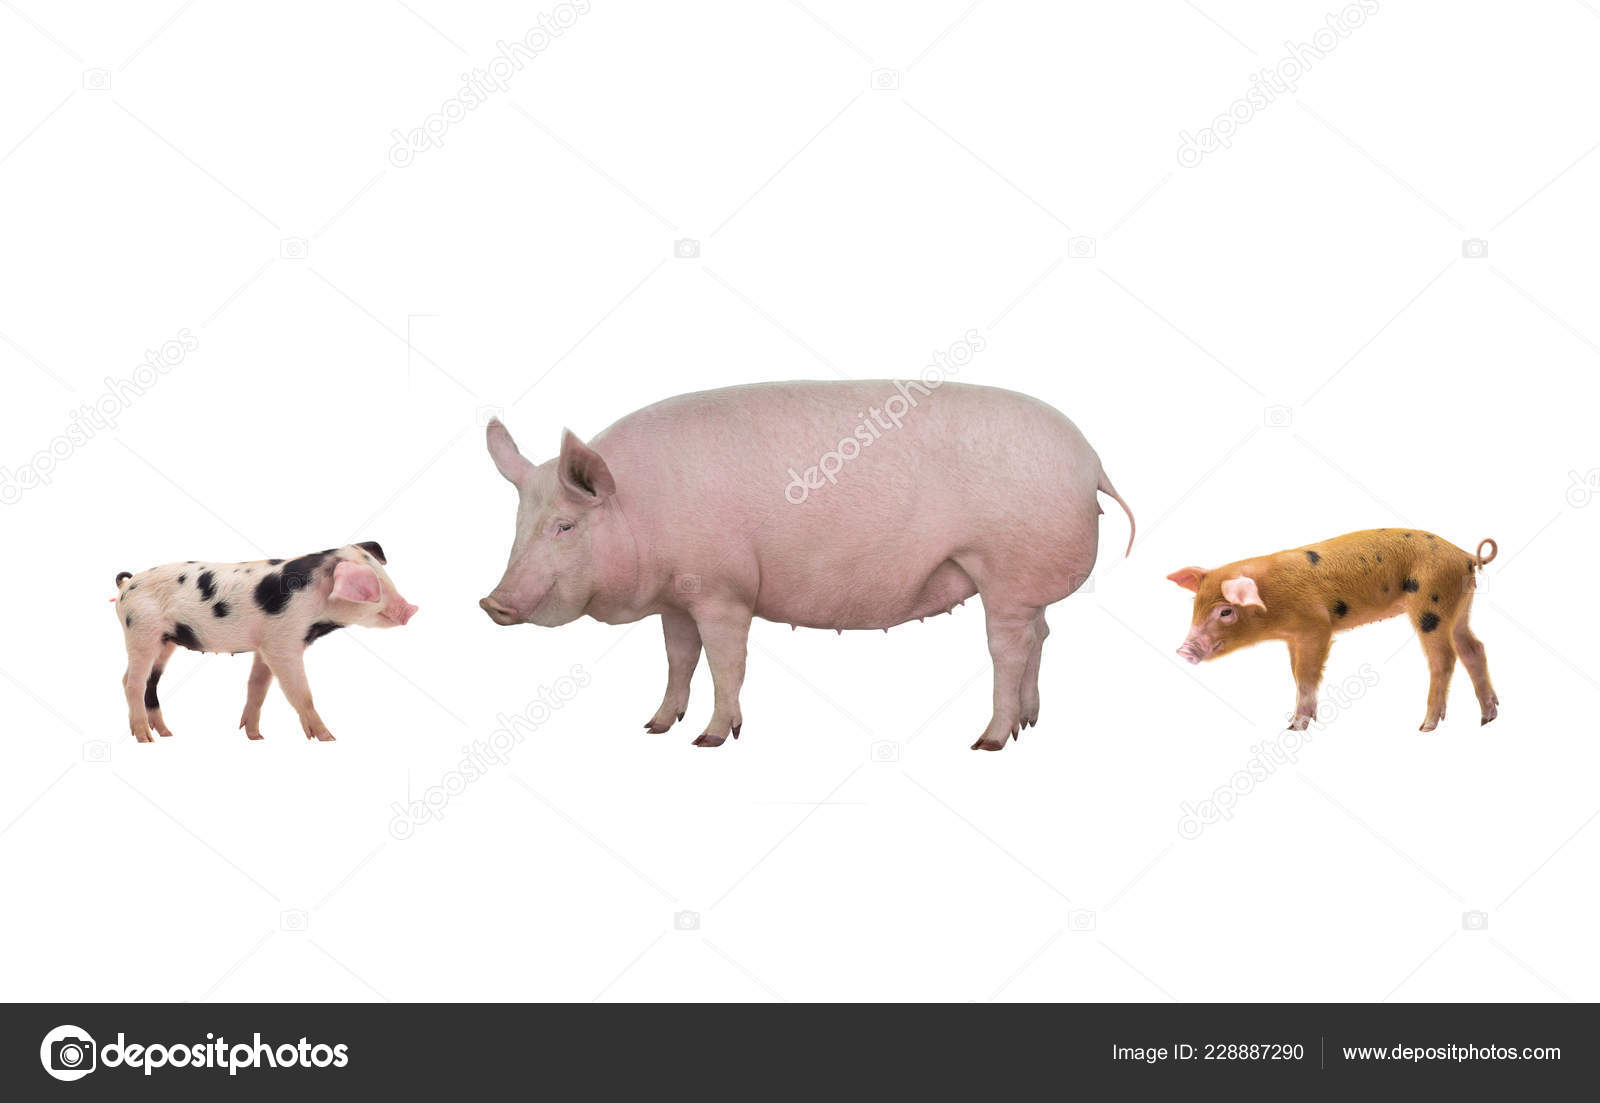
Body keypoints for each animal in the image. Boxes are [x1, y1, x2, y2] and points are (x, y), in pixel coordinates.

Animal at [113, 542, 418, 743]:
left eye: (386, 577)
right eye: (373, 589)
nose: (412, 609)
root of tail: (126, 586)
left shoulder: (264, 644)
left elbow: (257, 688)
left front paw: (256, 737)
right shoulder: (283, 641)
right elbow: (300, 693)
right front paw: (328, 738)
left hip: (164, 641)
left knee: (142, 681)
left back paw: (165, 733)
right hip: (141, 631)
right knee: (133, 682)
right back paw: (145, 738)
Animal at [478, 380, 1134, 751]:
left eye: (566, 526)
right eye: (518, 523)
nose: (492, 602)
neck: (641, 508)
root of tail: (1091, 460)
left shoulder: (724, 590)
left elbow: (726, 663)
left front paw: (710, 739)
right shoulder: (678, 598)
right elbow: (679, 658)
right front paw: (656, 727)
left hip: (1005, 571)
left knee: (1009, 649)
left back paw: (989, 742)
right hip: (1023, 586)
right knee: (1040, 635)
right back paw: (1029, 724)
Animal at [1168, 529, 1499, 732]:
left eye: (1225, 611)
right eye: (1196, 605)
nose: (1183, 651)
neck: (1271, 601)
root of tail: (1466, 556)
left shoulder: (1317, 626)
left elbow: (1306, 674)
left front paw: (1294, 727)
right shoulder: (1293, 638)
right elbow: (1296, 673)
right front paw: (1299, 721)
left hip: (1431, 608)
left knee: (1444, 659)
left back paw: (1426, 726)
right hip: (1459, 608)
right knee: (1474, 648)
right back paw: (1487, 718)